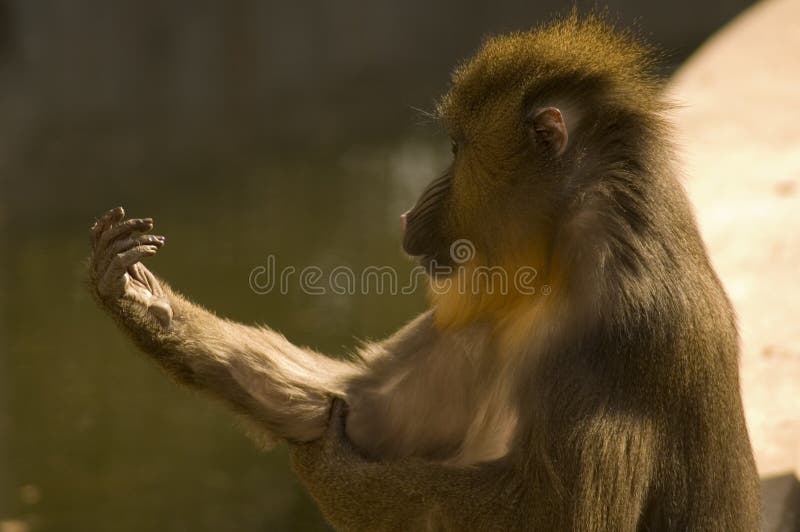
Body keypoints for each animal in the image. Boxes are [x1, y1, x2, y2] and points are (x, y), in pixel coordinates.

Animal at [87, 15, 760, 532]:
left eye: (458, 149)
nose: (410, 210)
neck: (567, 243)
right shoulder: (492, 311)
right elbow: (356, 403)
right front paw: (141, 299)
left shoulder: (615, 325)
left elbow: (558, 517)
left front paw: (335, 477)